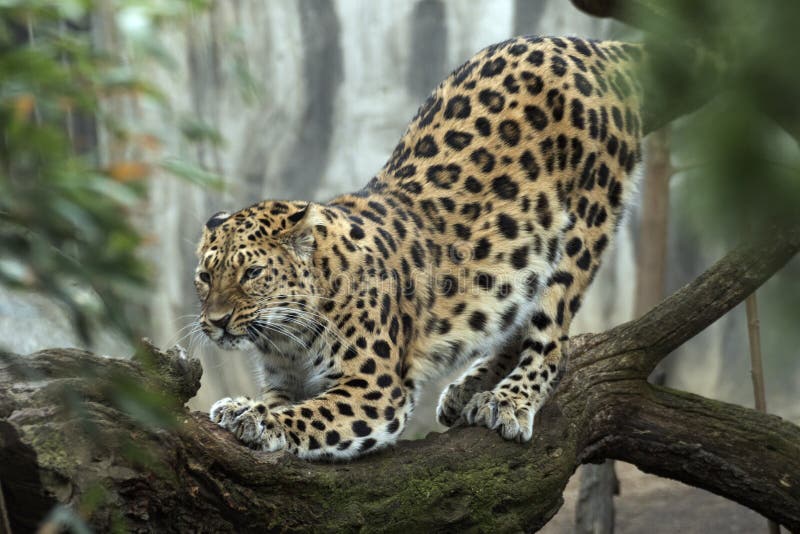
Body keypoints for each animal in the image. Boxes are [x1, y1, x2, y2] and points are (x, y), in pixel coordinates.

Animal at [196, 36, 645, 460]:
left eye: (252, 274)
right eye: (204, 276)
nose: (216, 321)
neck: (287, 337)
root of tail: (586, 45)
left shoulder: (373, 389)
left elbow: (308, 415)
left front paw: (258, 419)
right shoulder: (286, 379)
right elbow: (280, 400)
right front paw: (244, 406)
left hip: (581, 232)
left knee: (551, 340)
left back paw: (508, 400)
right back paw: (469, 389)